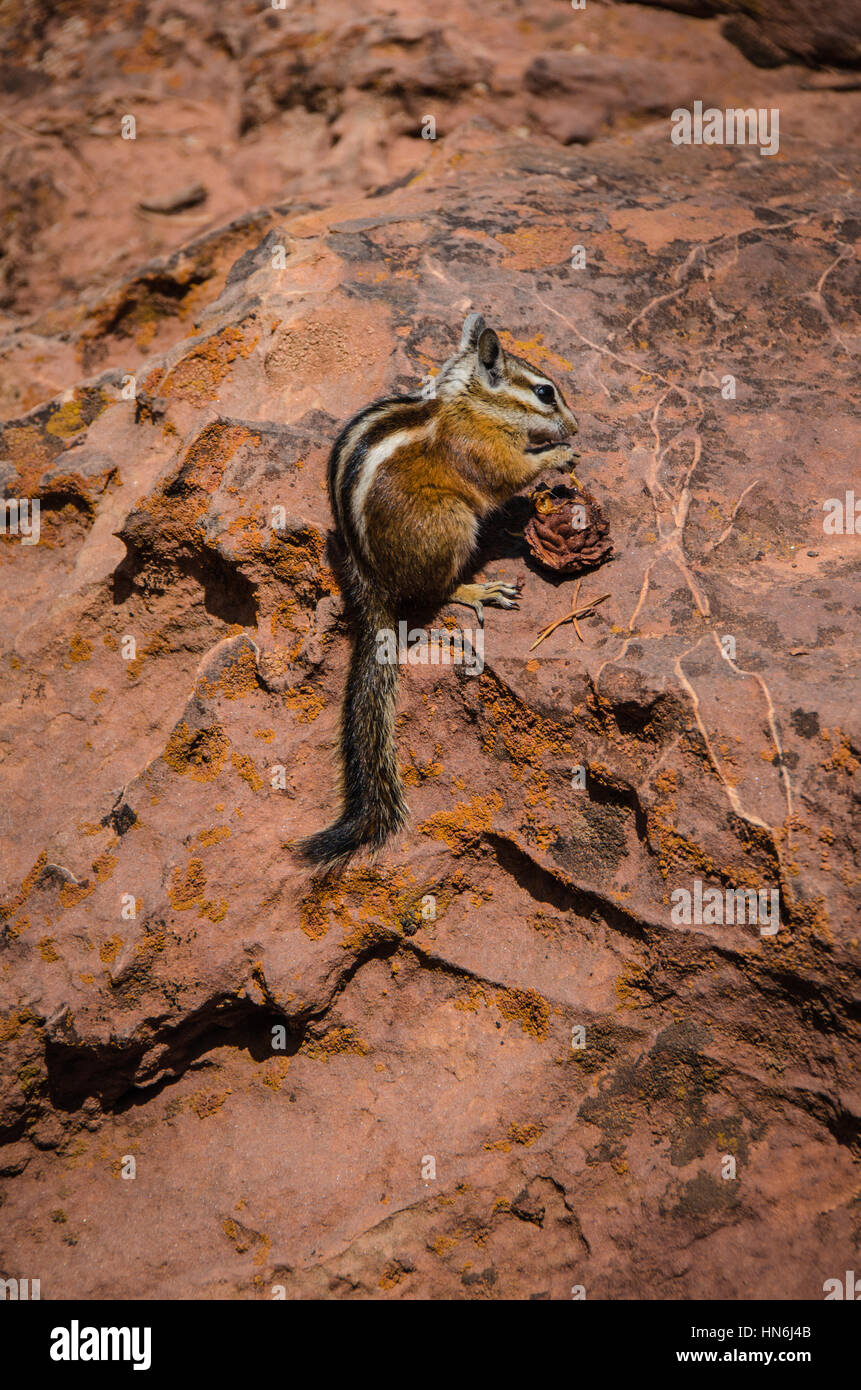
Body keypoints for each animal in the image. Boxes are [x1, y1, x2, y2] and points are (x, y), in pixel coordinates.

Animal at [300, 313, 578, 867]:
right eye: (545, 393)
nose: (578, 426)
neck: (474, 405)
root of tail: (371, 583)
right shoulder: (485, 453)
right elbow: (512, 473)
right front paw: (559, 454)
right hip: (451, 522)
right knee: (433, 595)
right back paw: (477, 591)